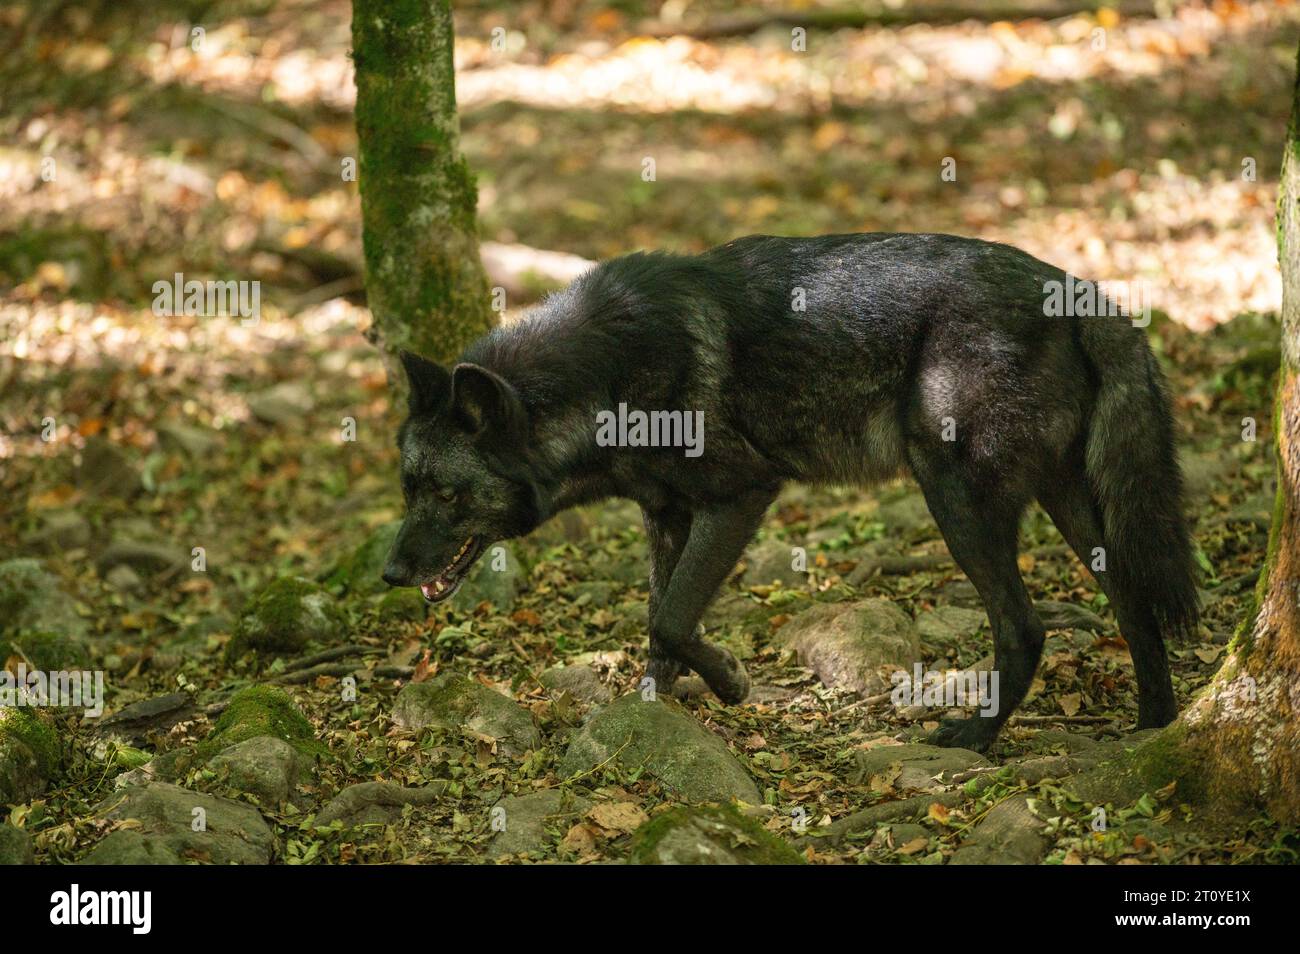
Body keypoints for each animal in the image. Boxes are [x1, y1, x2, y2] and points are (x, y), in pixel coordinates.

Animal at [382, 232, 1198, 752]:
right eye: (408, 488)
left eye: (447, 496)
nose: (389, 573)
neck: (604, 377)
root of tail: (1076, 293)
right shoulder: (665, 513)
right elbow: (657, 623)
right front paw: (653, 716)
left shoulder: (741, 494)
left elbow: (671, 619)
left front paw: (732, 686)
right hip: (1069, 504)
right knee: (1132, 599)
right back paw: (1155, 727)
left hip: (953, 495)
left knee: (1025, 627)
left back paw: (976, 736)